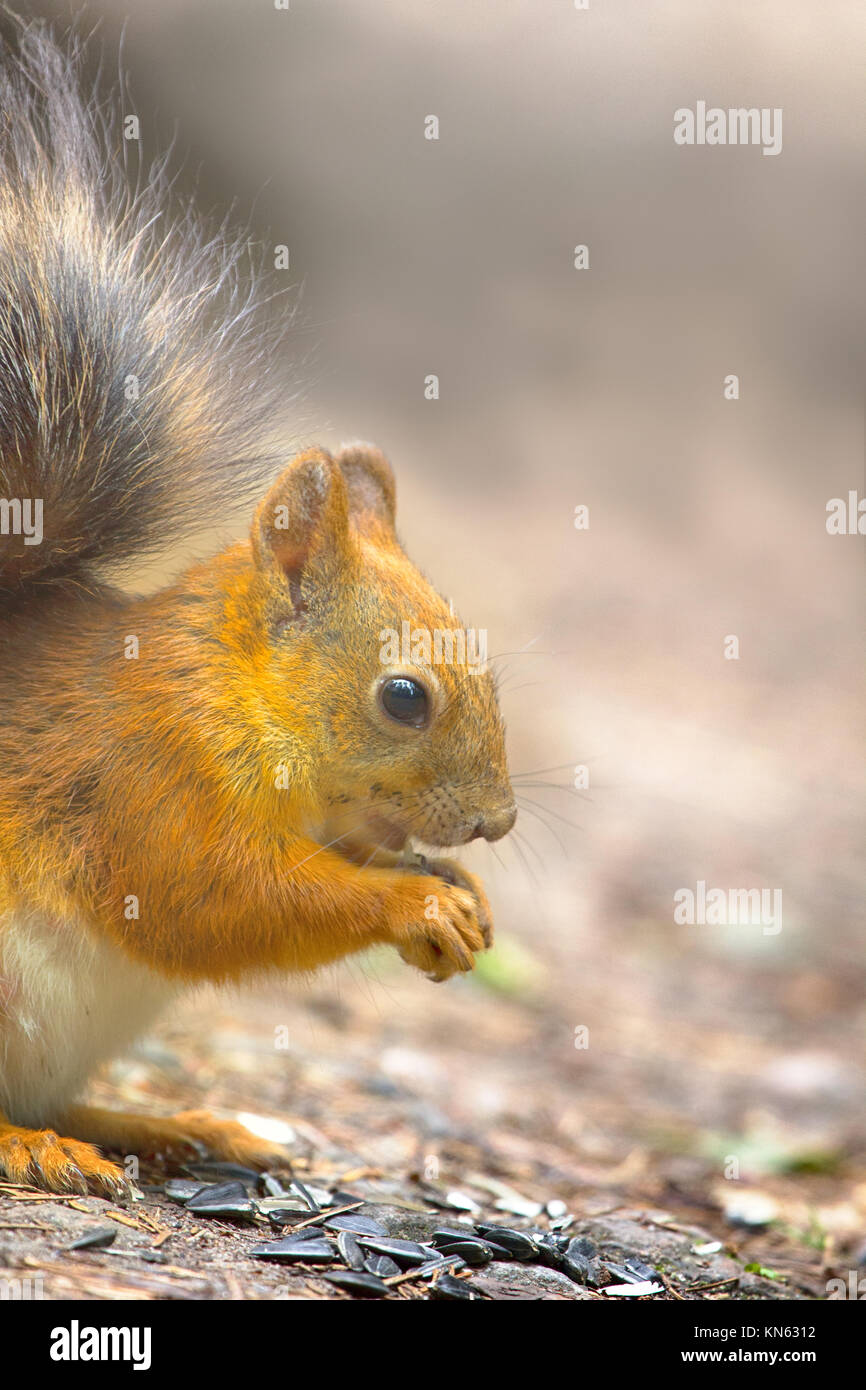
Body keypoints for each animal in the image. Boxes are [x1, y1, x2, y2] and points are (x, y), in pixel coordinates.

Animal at [0, 24, 515, 1197]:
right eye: (404, 696)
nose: (498, 822)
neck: (240, 691)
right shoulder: (147, 771)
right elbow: (225, 900)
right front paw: (414, 904)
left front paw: (456, 889)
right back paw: (39, 1145)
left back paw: (174, 1122)